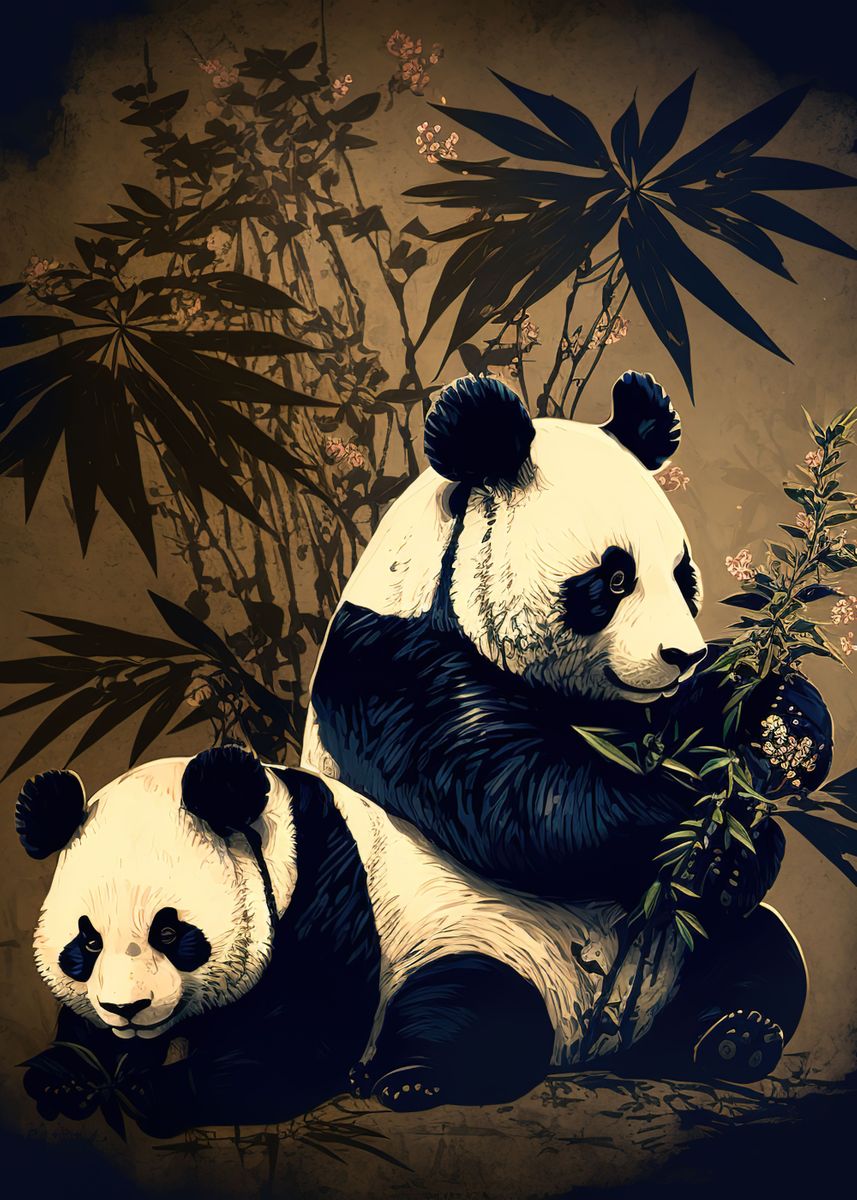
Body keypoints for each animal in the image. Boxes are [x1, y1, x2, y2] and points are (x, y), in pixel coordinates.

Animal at [302, 370, 833, 1083]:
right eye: (613, 577)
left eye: (682, 576)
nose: (683, 655)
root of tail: (591, 1043)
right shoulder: (388, 666)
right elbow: (528, 801)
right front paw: (717, 822)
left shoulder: (634, 707)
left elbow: (685, 723)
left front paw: (786, 719)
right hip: (451, 931)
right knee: (473, 1007)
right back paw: (418, 1070)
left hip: (681, 951)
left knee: (759, 950)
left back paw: (733, 1034)